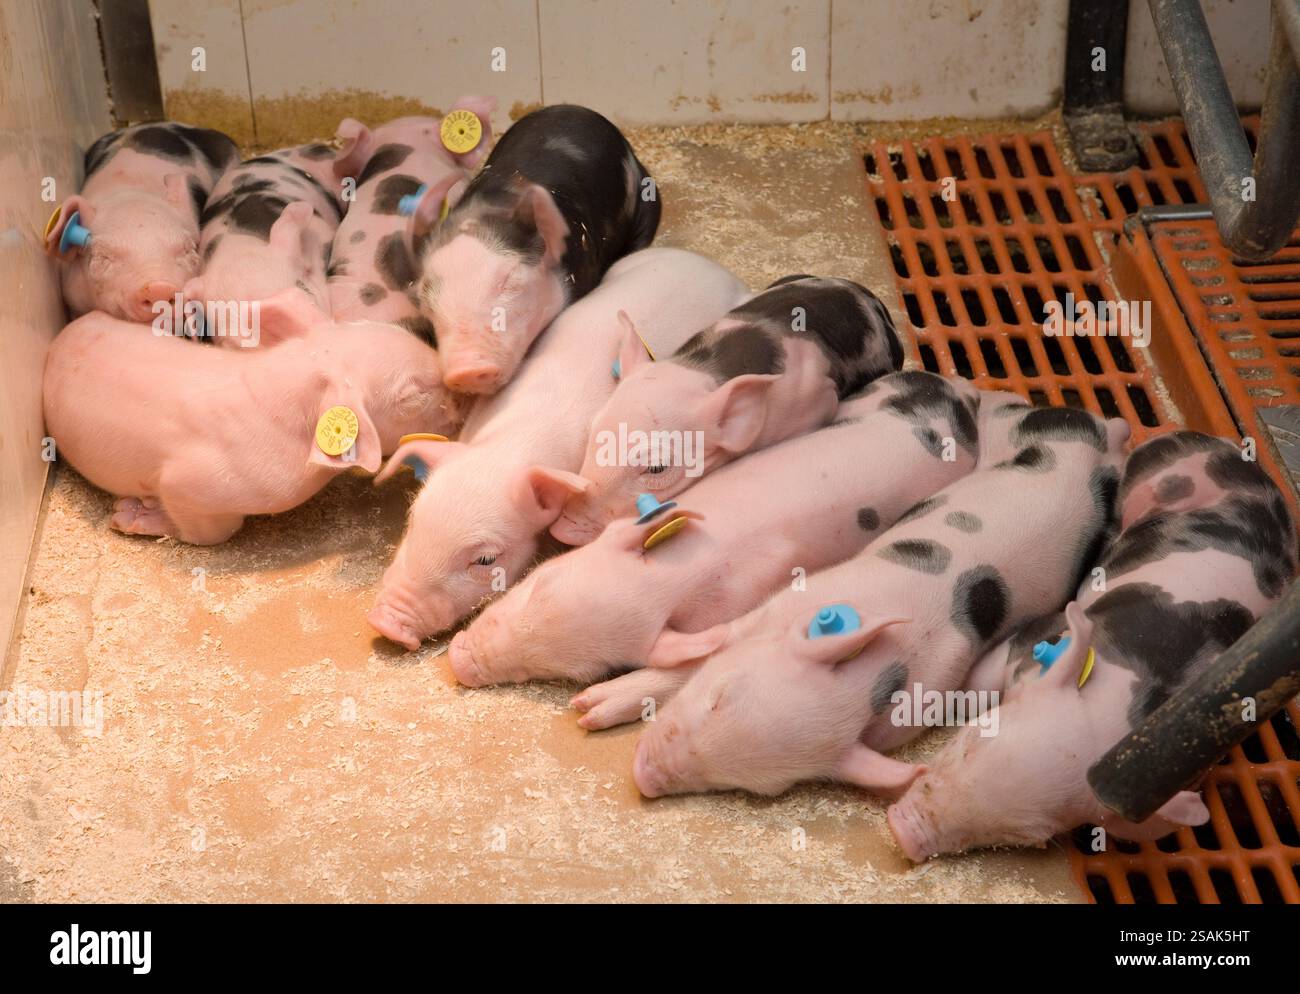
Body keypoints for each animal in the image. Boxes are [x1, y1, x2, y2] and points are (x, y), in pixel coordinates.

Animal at [43, 290, 449, 545]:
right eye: (411, 394)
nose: (457, 388)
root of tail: (58, 343)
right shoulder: (185, 483)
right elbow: (217, 530)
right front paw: (124, 514)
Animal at [445, 371, 980, 704]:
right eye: (541, 584)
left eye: (575, 671)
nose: (458, 659)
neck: (685, 565)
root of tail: (960, 398)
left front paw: (588, 709)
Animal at [551, 276, 904, 544]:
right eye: (595, 431)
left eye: (657, 468)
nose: (561, 528)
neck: (707, 372)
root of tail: (871, 298)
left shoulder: (818, 404)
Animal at [631, 404, 1131, 799]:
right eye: (720, 695)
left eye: (748, 784)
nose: (643, 775)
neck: (882, 664)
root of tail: (1103, 437)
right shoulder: (791, 601)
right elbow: (706, 649)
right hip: (1011, 423)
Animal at [888, 431, 1295, 859]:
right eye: (971, 740)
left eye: (1022, 835)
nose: (904, 832)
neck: (1111, 701)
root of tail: (1238, 457)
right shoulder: (1040, 634)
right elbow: (981, 680)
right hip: (1142, 475)